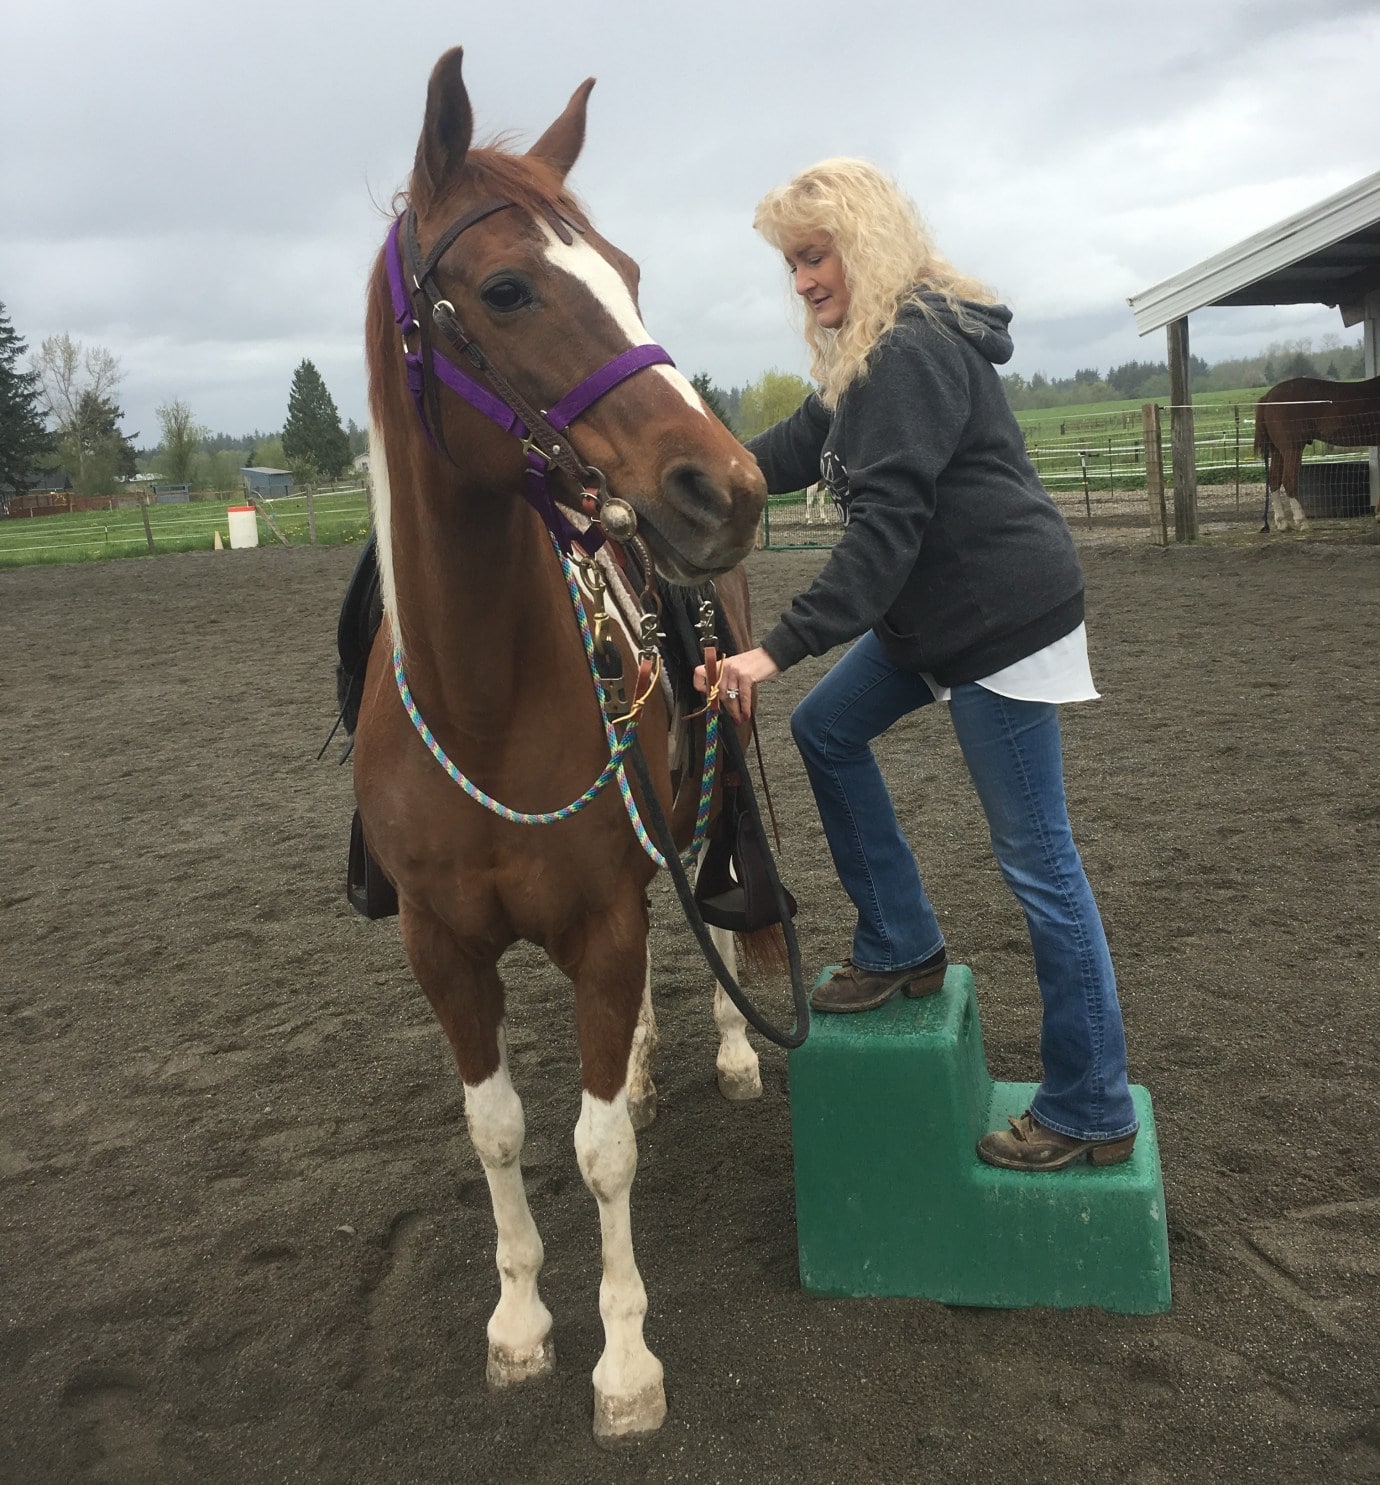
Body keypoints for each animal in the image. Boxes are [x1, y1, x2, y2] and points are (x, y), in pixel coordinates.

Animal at [352, 48, 771, 1439]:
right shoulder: (443, 948)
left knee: (727, 911)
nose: (728, 487)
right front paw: (521, 1321)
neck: (482, 701)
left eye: (630, 271)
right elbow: (497, 1131)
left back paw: (732, 1050)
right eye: (506, 288)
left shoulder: (598, 918)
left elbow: (598, 1153)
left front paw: (626, 1360)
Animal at [1253, 374, 1380, 532]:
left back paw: (1282, 523)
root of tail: (1268, 396)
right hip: (1292, 448)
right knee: (1289, 480)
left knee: (1274, 479)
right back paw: (1302, 521)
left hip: (1278, 451)